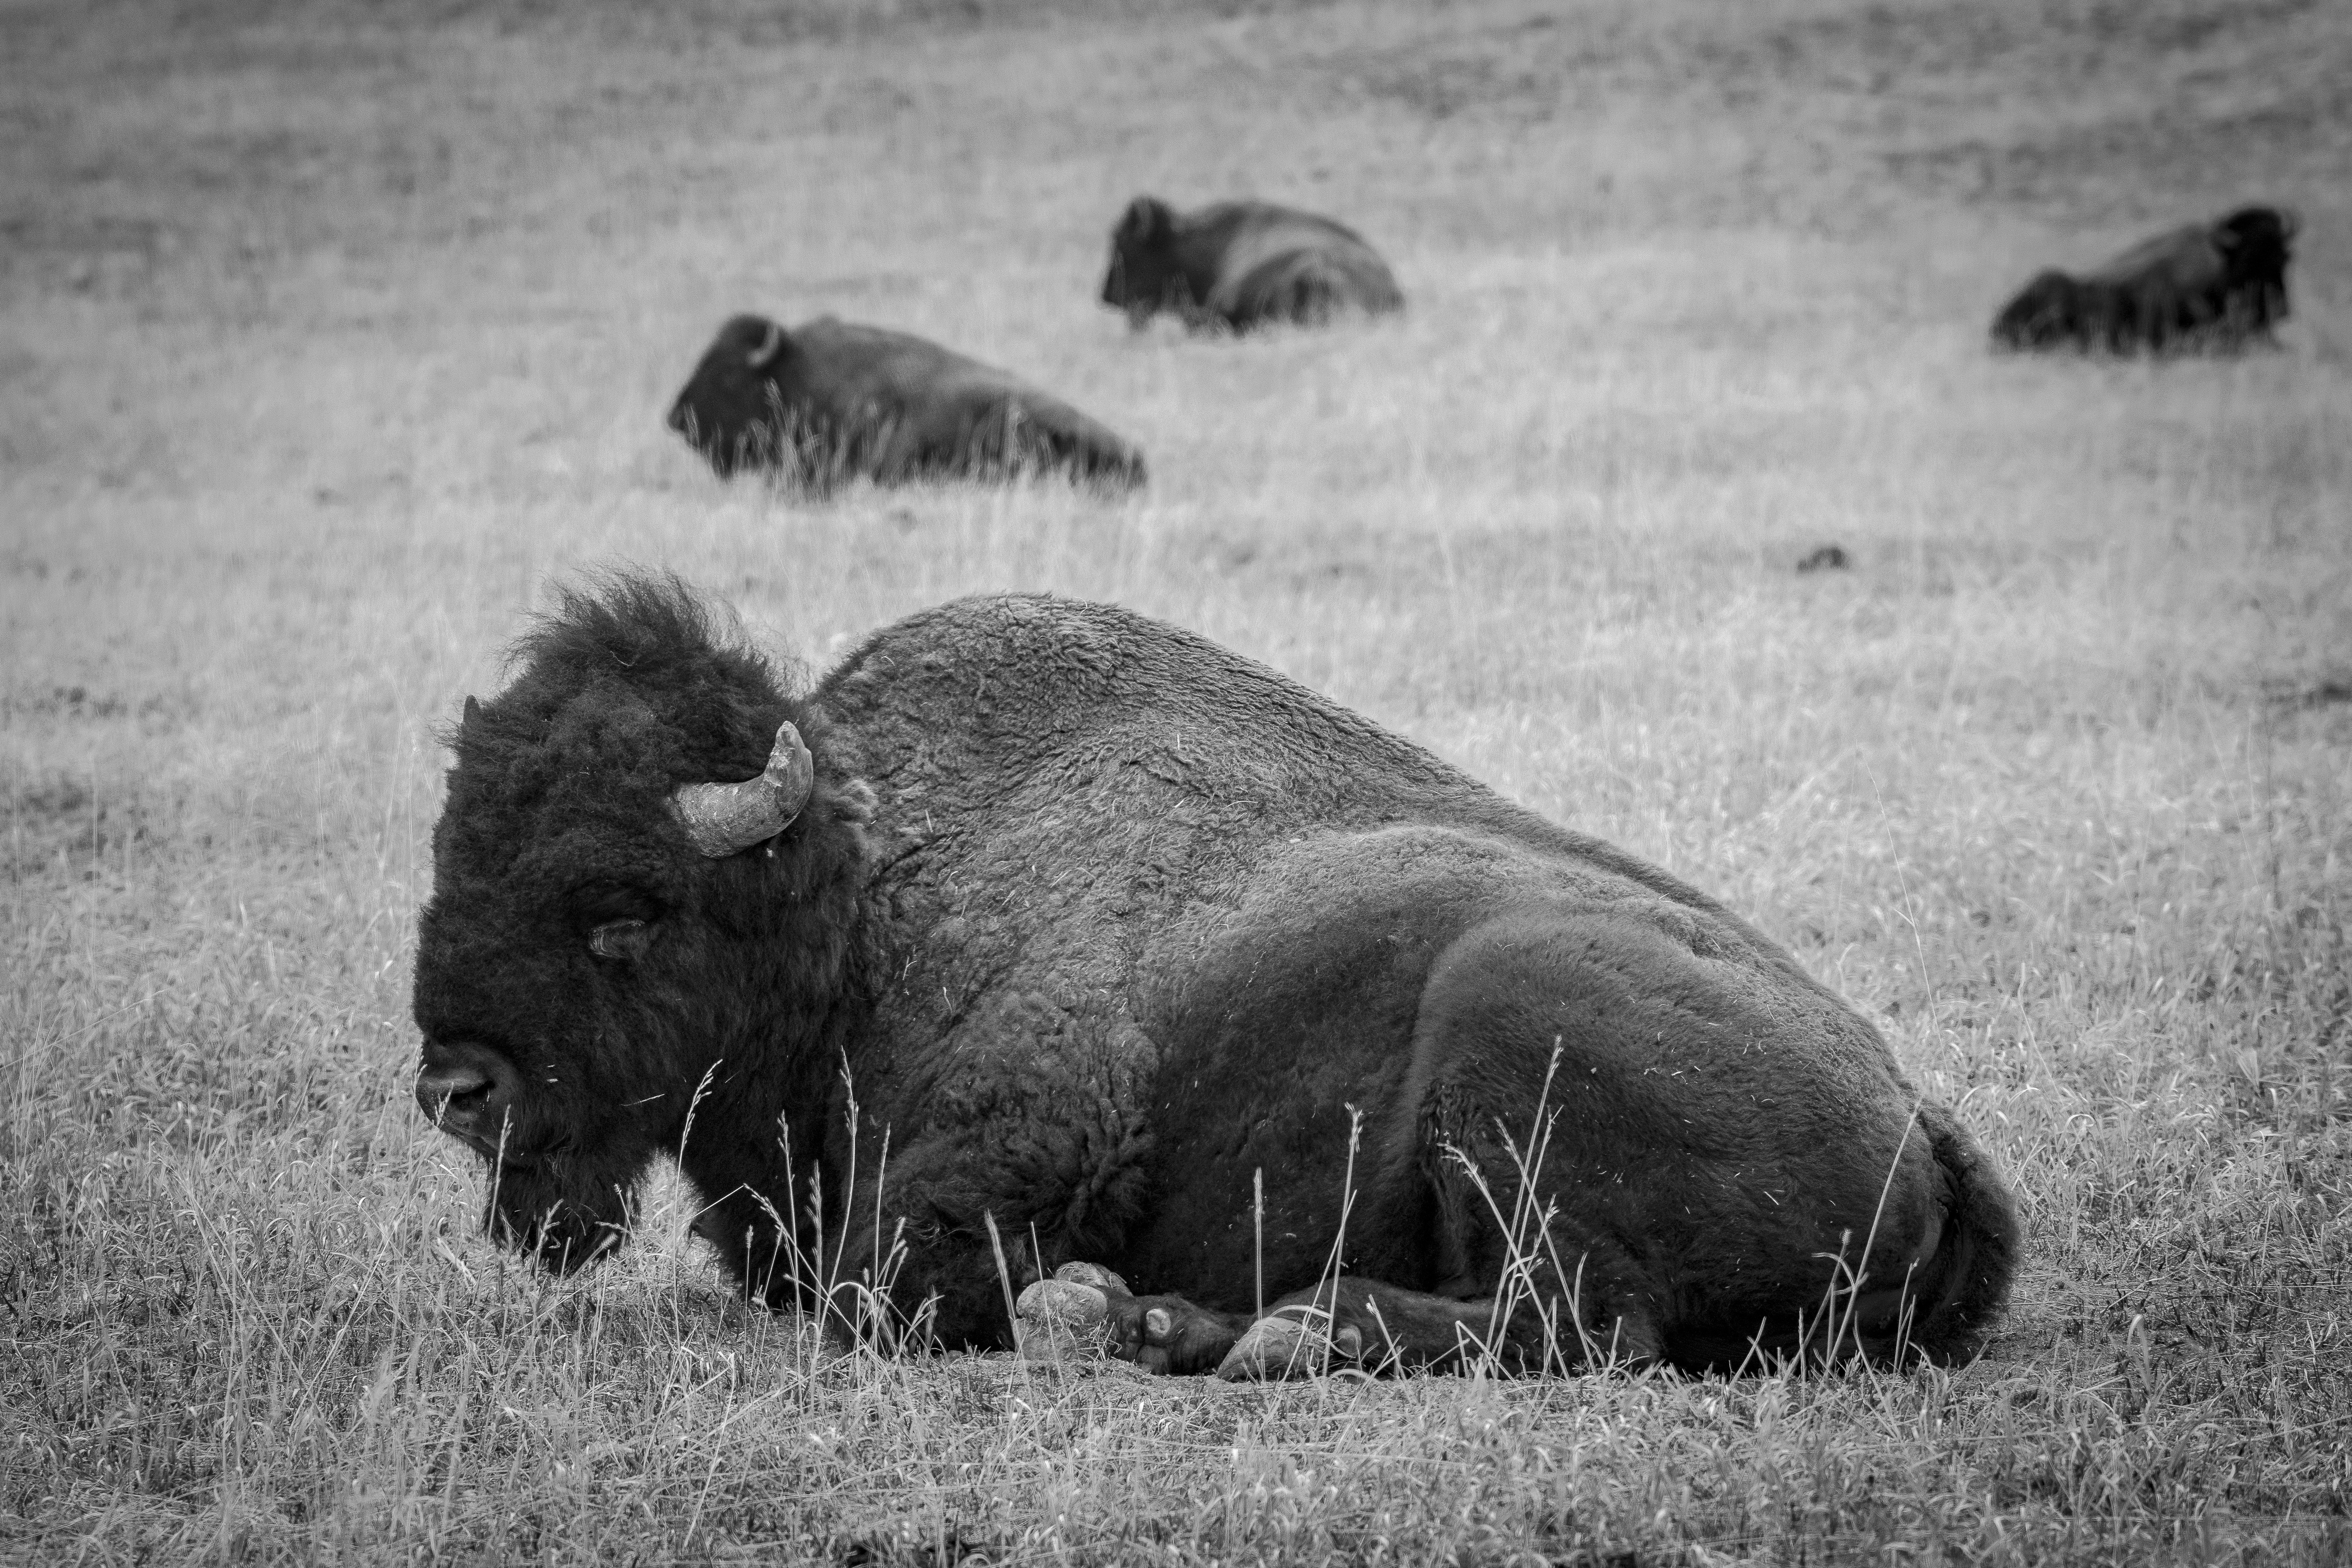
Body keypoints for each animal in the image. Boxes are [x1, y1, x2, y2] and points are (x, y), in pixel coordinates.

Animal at [413, 576, 2017, 1378]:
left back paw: (1224, 1327)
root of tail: (1921, 1123)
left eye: (622, 913)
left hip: (1510, 1024)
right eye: (452, 850)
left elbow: (897, 1285)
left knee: (1578, 1325)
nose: (454, 1087)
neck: (871, 885)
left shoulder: (997, 1168)